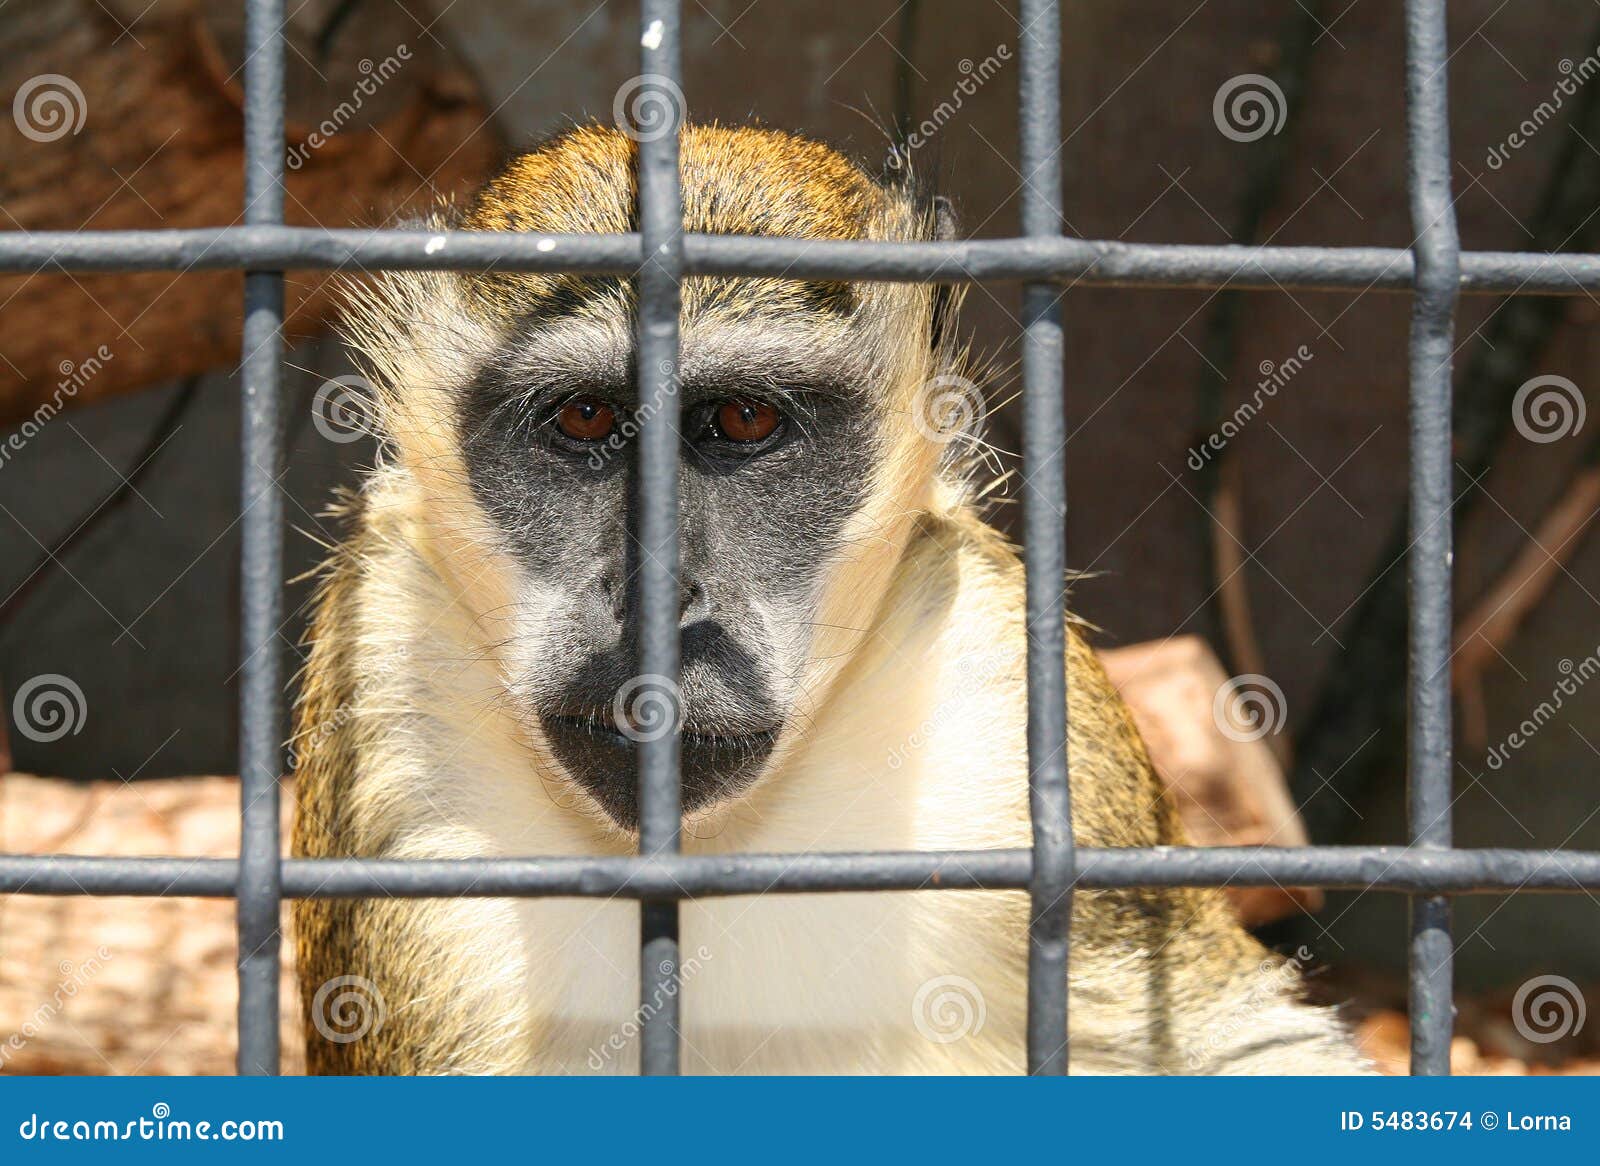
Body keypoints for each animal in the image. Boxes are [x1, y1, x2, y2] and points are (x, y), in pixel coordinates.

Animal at [291, 123, 1371, 1075]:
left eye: (742, 420)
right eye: (588, 416)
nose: (656, 589)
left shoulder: (1000, 655)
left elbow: (1233, 1039)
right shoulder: (388, 661)